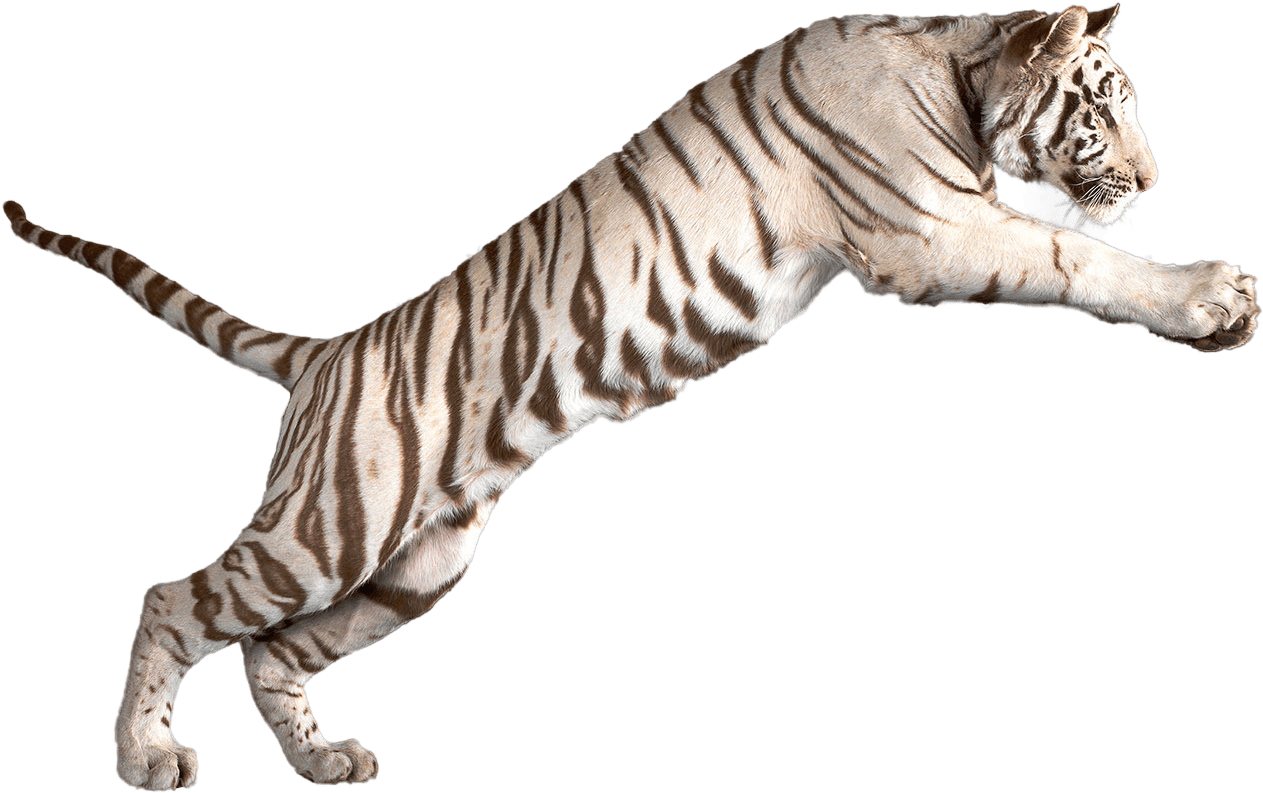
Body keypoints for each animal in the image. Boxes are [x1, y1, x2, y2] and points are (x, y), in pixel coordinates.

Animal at [5, 4, 1258, 789]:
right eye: (1105, 111)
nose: (1151, 176)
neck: (957, 63)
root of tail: (330, 352)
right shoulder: (933, 231)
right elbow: (1078, 260)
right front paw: (1207, 296)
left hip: (417, 566)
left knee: (273, 651)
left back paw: (324, 761)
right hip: (328, 526)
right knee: (174, 598)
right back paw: (143, 758)